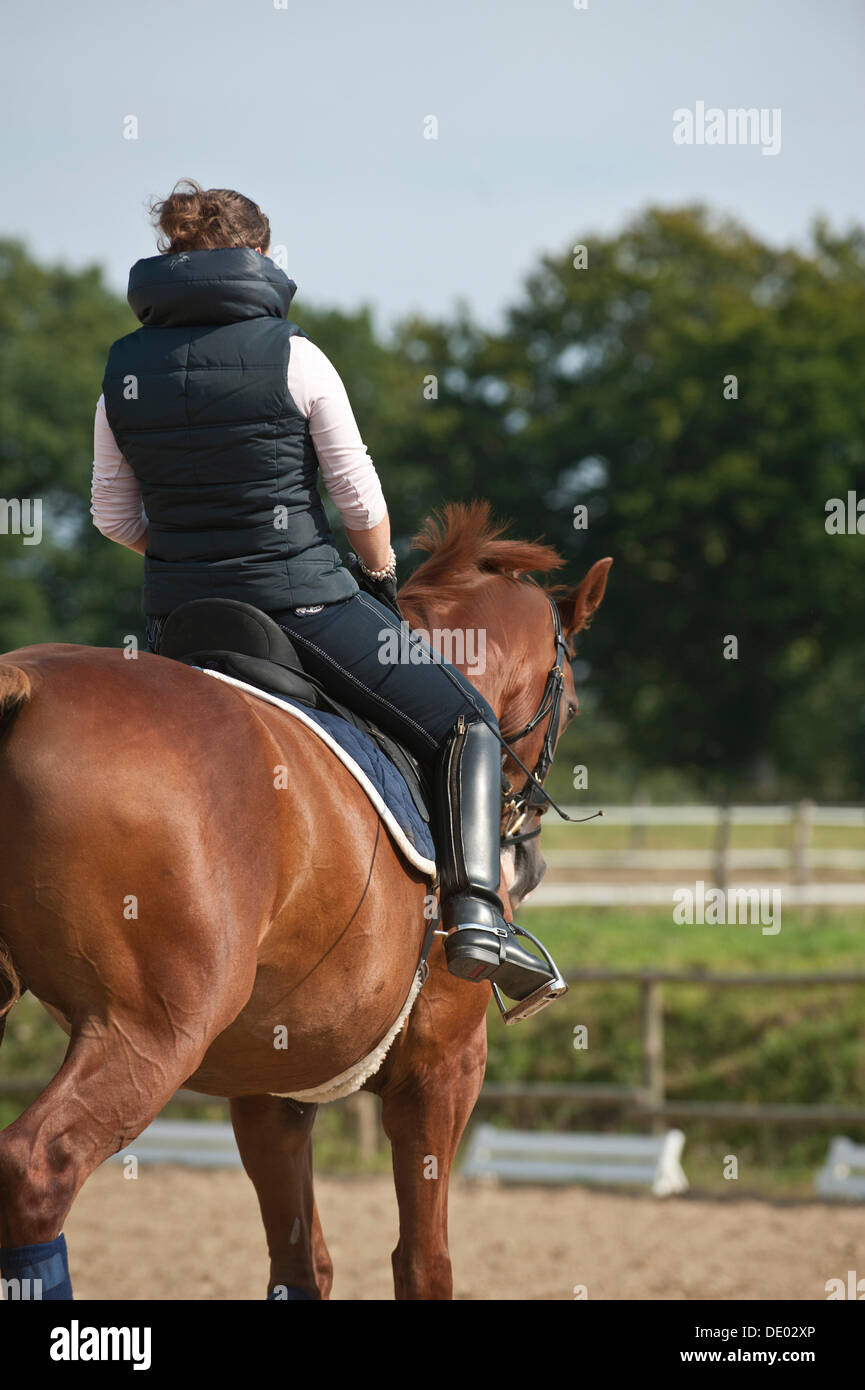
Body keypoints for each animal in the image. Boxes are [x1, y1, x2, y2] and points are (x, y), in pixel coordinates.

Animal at [0, 501, 610, 1300]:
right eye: (572, 707)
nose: (528, 862)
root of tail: (24, 686)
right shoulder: (443, 1066)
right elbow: (423, 1264)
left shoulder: (270, 1084)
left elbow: (301, 1265)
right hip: (146, 1031)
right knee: (38, 1168)